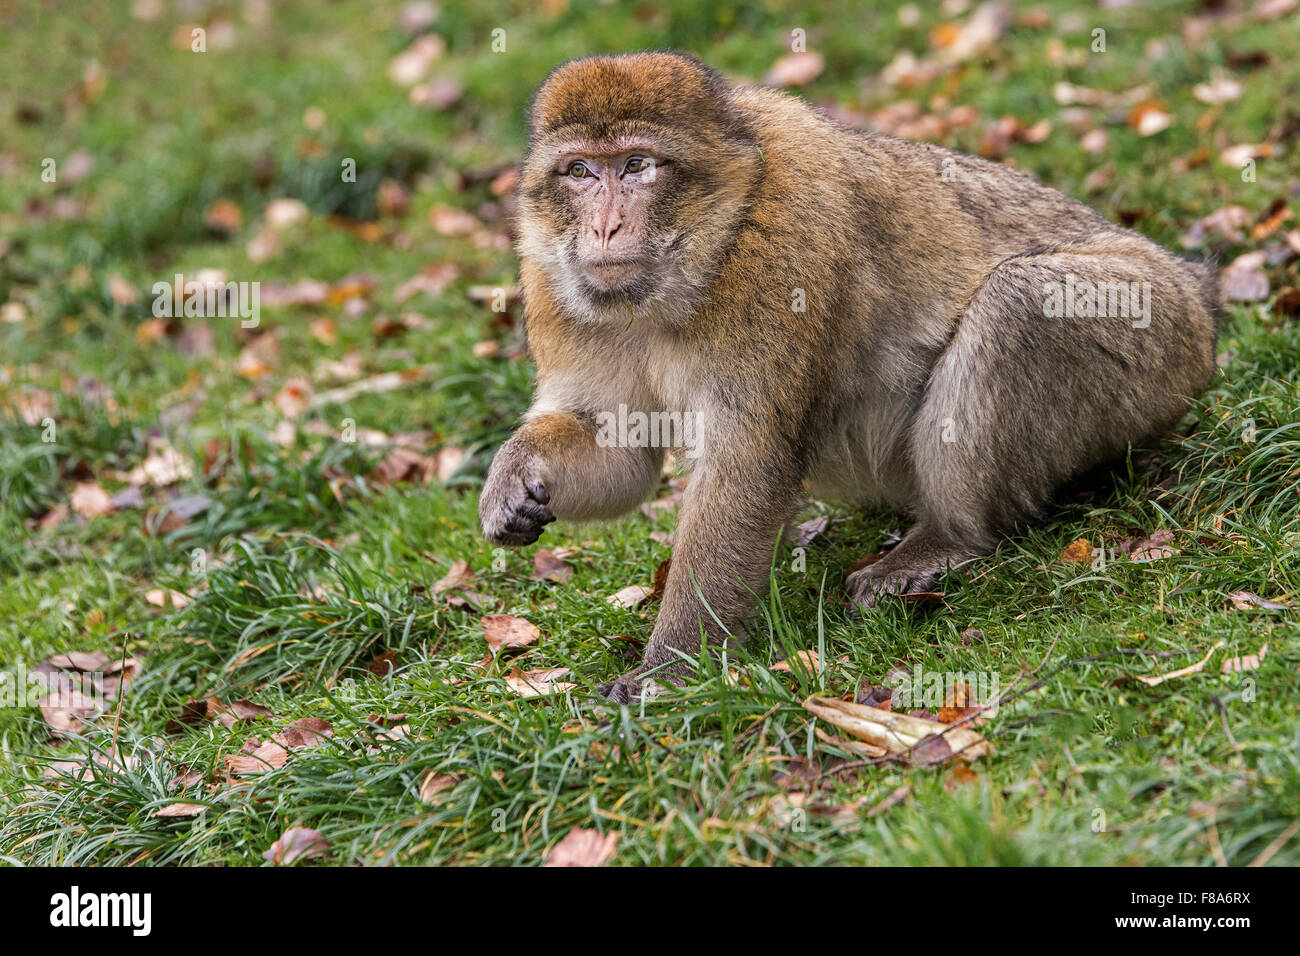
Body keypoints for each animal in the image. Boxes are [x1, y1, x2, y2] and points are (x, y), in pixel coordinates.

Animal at [479, 51, 1219, 702]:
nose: (605, 228)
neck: (708, 247)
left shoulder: (782, 254)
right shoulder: (551, 280)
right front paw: (516, 476)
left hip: (1157, 338)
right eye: (579, 171)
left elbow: (747, 462)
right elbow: (622, 451)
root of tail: (1198, 301)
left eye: (636, 165)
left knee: (1017, 303)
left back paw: (950, 538)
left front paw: (670, 669)